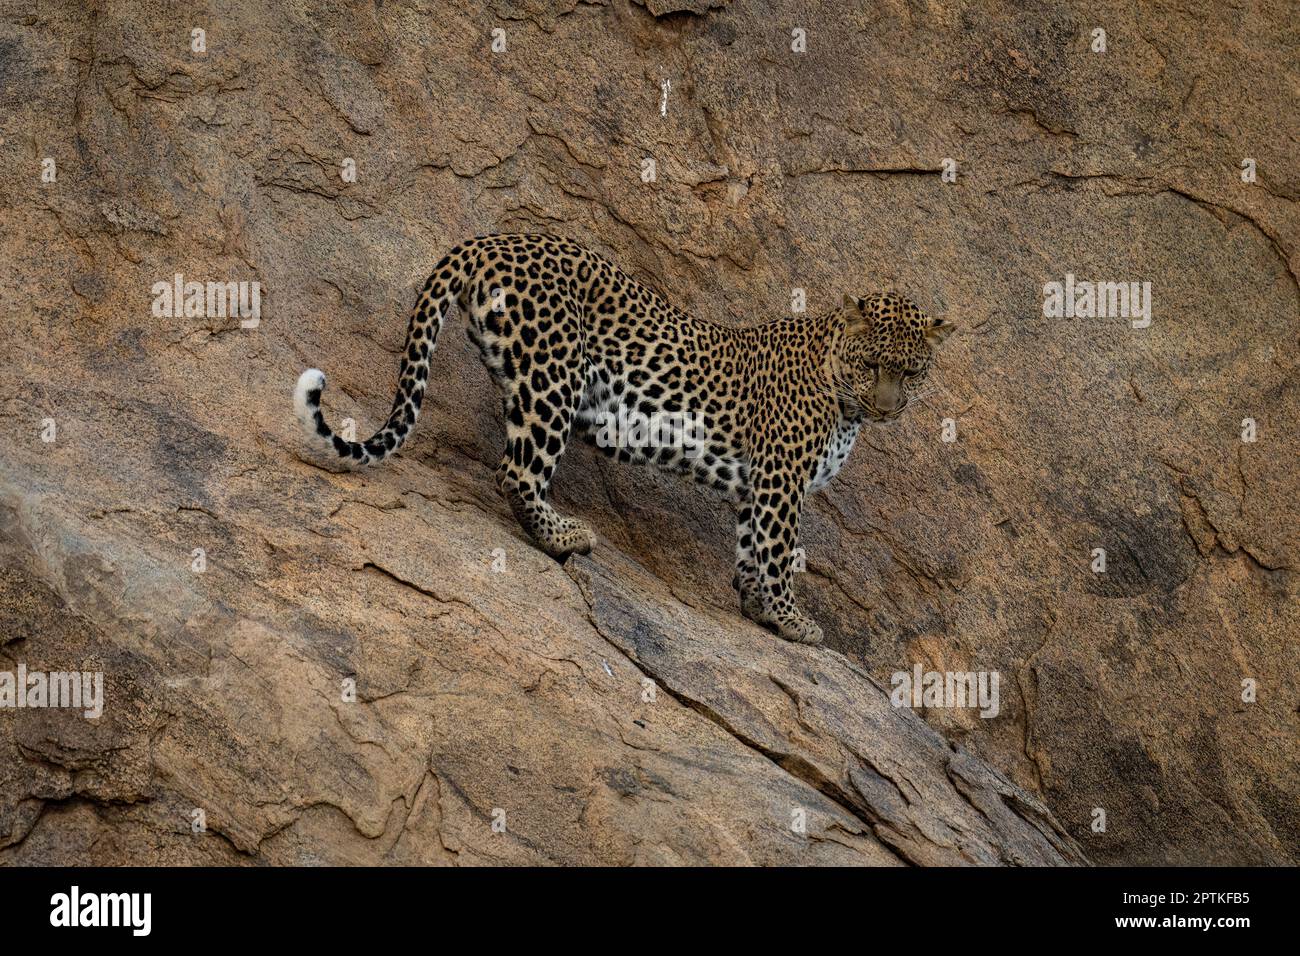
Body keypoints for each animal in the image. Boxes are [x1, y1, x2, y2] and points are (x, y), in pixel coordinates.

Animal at [294, 234, 953, 645]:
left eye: (912, 371)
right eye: (873, 365)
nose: (889, 406)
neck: (846, 402)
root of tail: (491, 239)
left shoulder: (758, 488)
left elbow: (750, 549)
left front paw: (758, 610)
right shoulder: (780, 481)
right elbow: (776, 552)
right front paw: (792, 621)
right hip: (553, 374)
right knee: (517, 470)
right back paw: (564, 537)